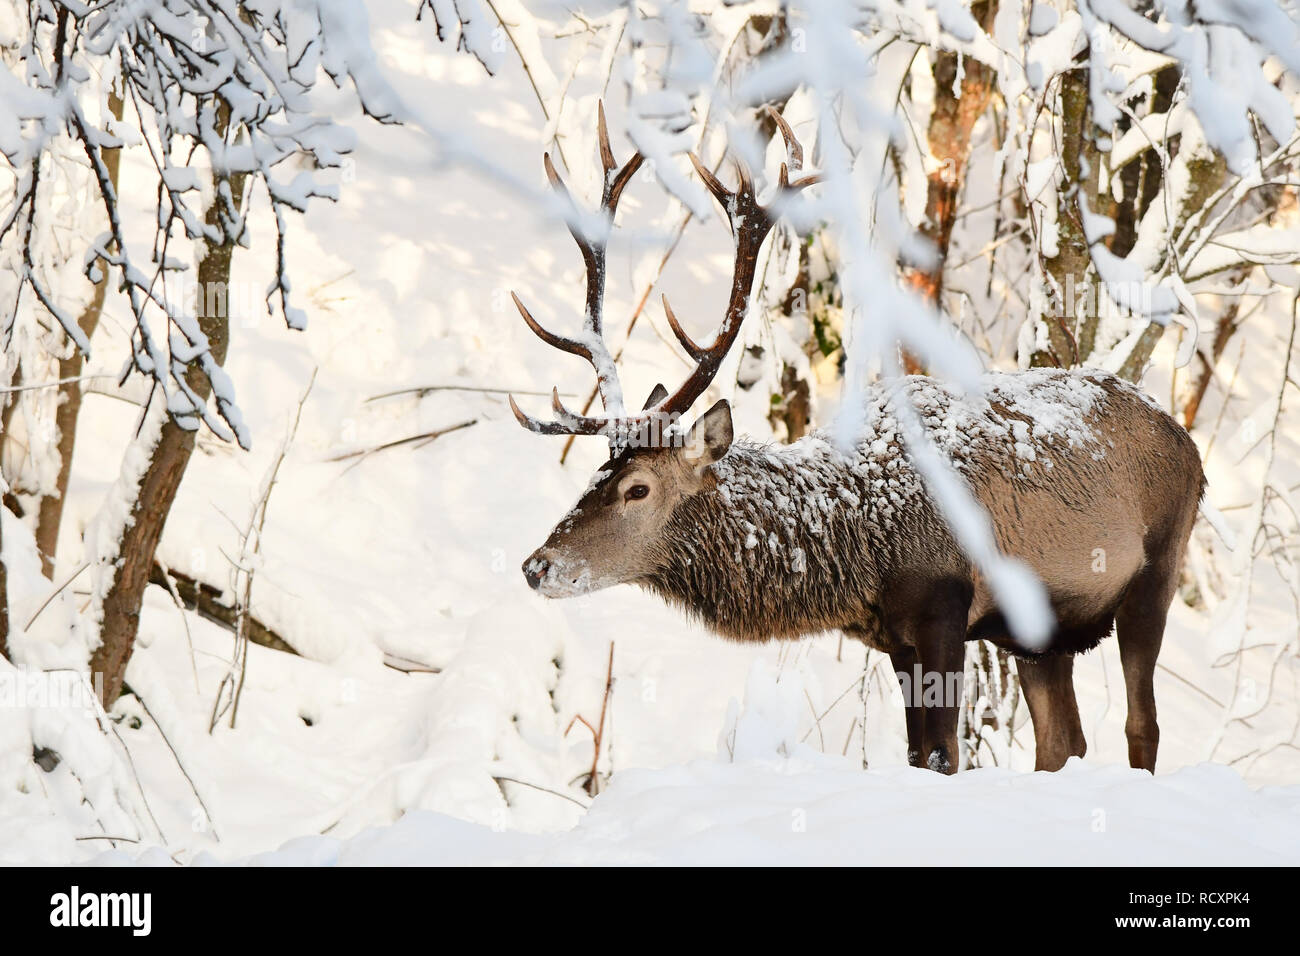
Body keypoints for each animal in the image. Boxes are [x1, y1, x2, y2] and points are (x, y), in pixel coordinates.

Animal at [509, 105, 1205, 776]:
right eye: (594, 476)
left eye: (637, 488)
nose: (536, 565)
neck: (859, 550)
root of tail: (1190, 446)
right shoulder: (893, 638)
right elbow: (917, 758)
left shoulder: (944, 607)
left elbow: (944, 757)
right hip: (1041, 634)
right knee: (1063, 743)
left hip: (1155, 575)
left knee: (1141, 726)